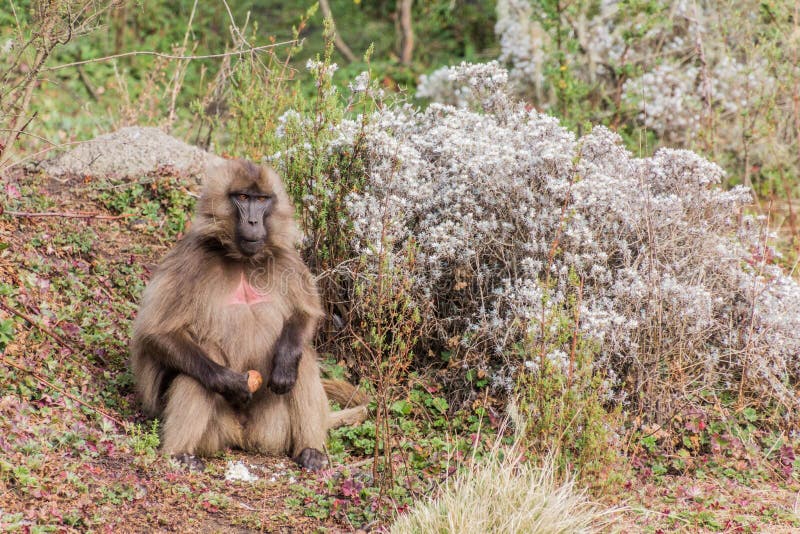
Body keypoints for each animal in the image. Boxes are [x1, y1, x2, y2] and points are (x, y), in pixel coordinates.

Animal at [130, 158, 367, 470]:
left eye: (262, 200)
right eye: (242, 198)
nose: (254, 222)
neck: (242, 259)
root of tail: (242, 437)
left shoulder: (287, 258)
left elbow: (305, 315)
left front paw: (285, 361)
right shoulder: (189, 257)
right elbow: (155, 333)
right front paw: (230, 383)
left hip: (272, 430)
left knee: (302, 360)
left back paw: (310, 450)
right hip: (218, 432)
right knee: (198, 365)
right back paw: (180, 453)